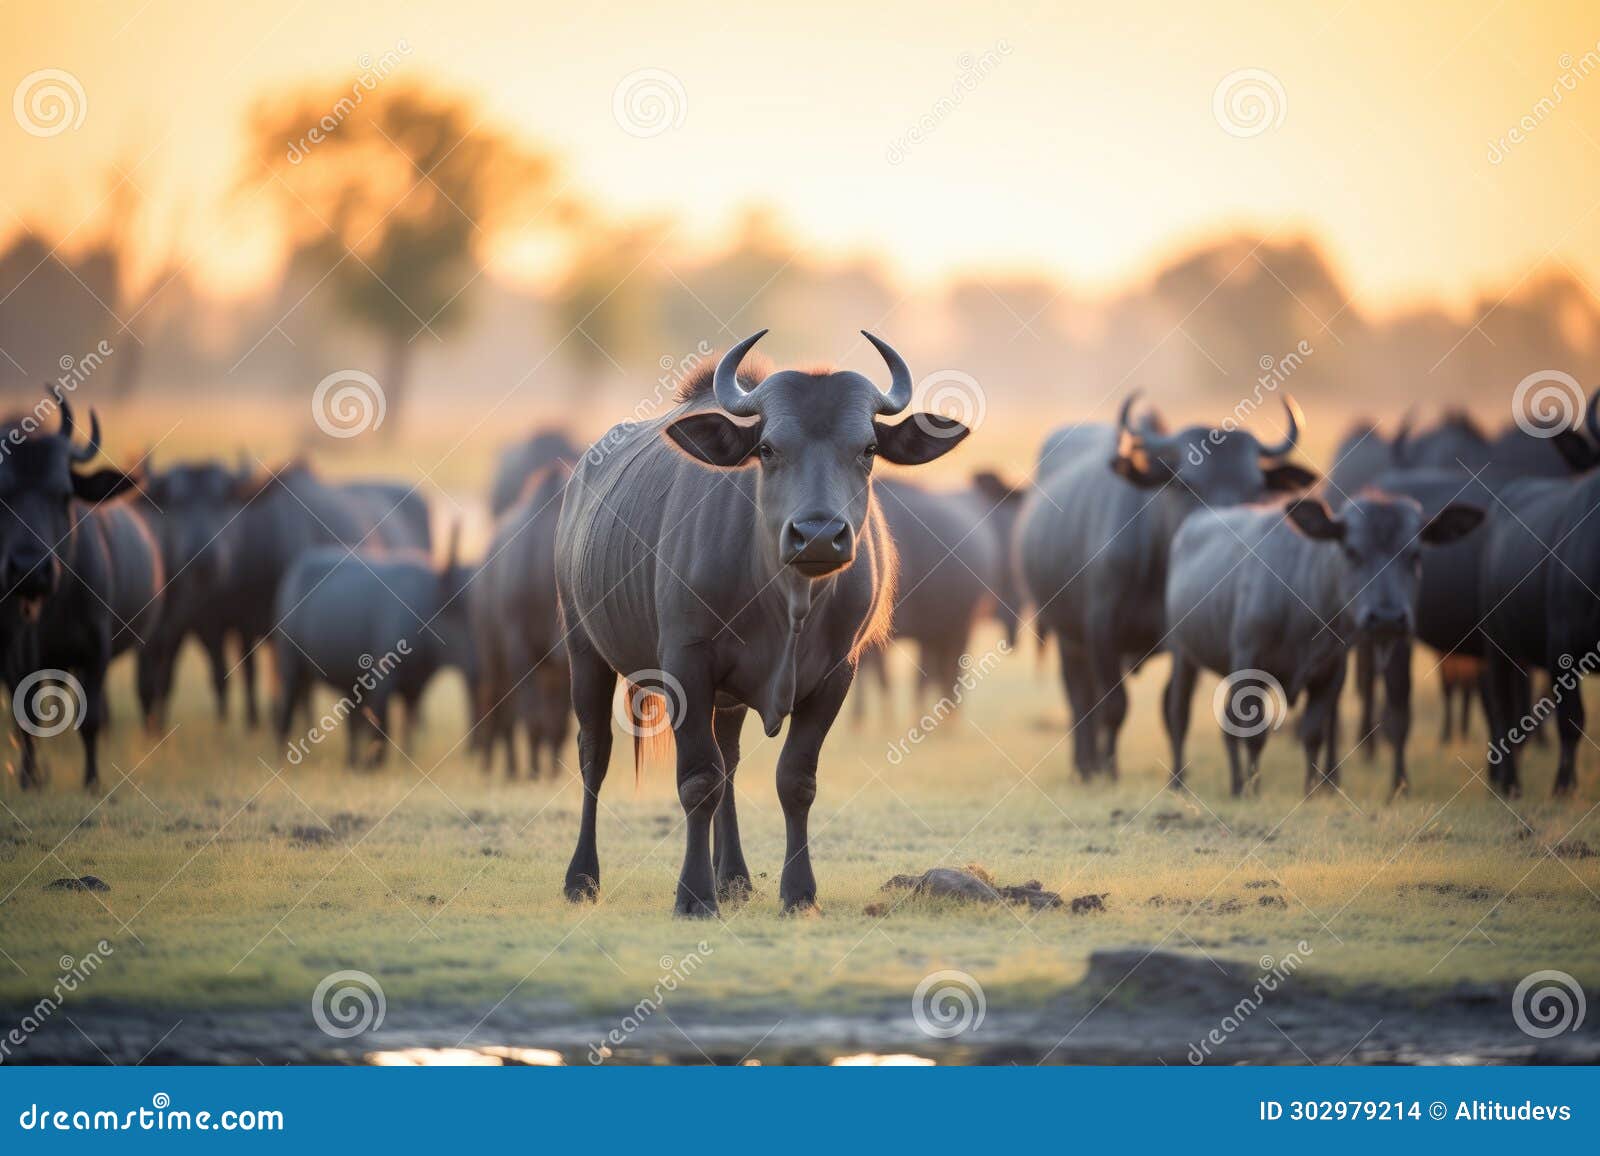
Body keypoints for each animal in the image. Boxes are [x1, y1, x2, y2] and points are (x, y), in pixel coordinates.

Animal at [555, 330, 967, 916]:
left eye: (867, 449)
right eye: (768, 449)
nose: (818, 535)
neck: (787, 599)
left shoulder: (837, 674)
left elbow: (794, 779)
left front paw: (798, 893)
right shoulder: (685, 665)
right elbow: (697, 780)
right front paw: (694, 896)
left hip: (725, 697)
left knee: (728, 758)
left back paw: (735, 877)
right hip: (583, 647)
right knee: (595, 751)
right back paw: (581, 878)